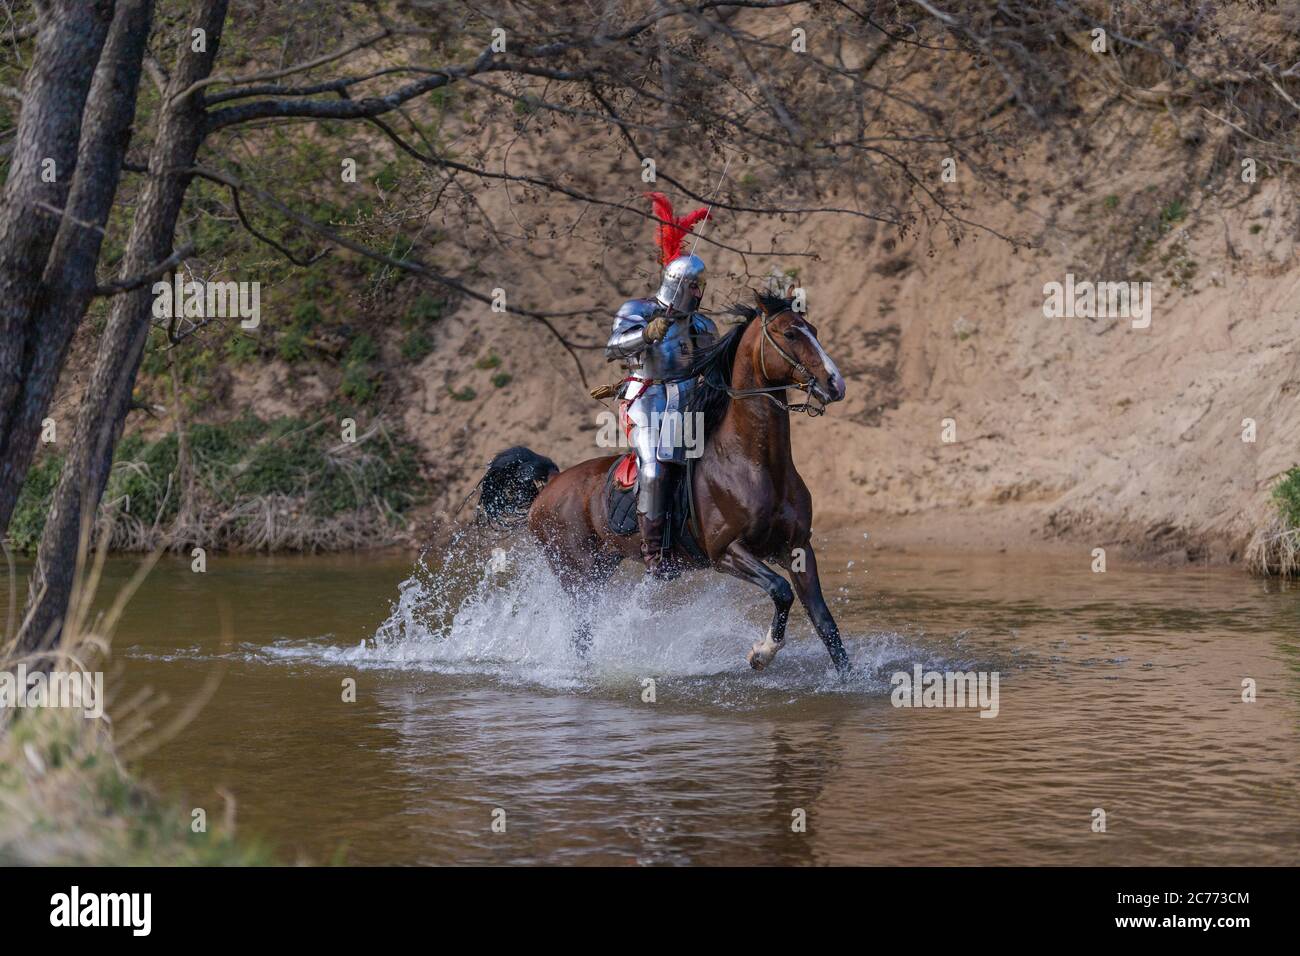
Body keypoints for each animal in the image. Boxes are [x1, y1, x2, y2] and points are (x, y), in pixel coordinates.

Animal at [477, 290, 851, 674]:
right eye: (790, 334)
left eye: (813, 330)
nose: (834, 384)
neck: (753, 463)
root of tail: (549, 487)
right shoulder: (726, 552)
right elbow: (780, 590)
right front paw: (762, 653)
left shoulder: (798, 548)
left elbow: (824, 622)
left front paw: (846, 676)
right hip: (575, 575)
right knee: (580, 632)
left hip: (600, 568)